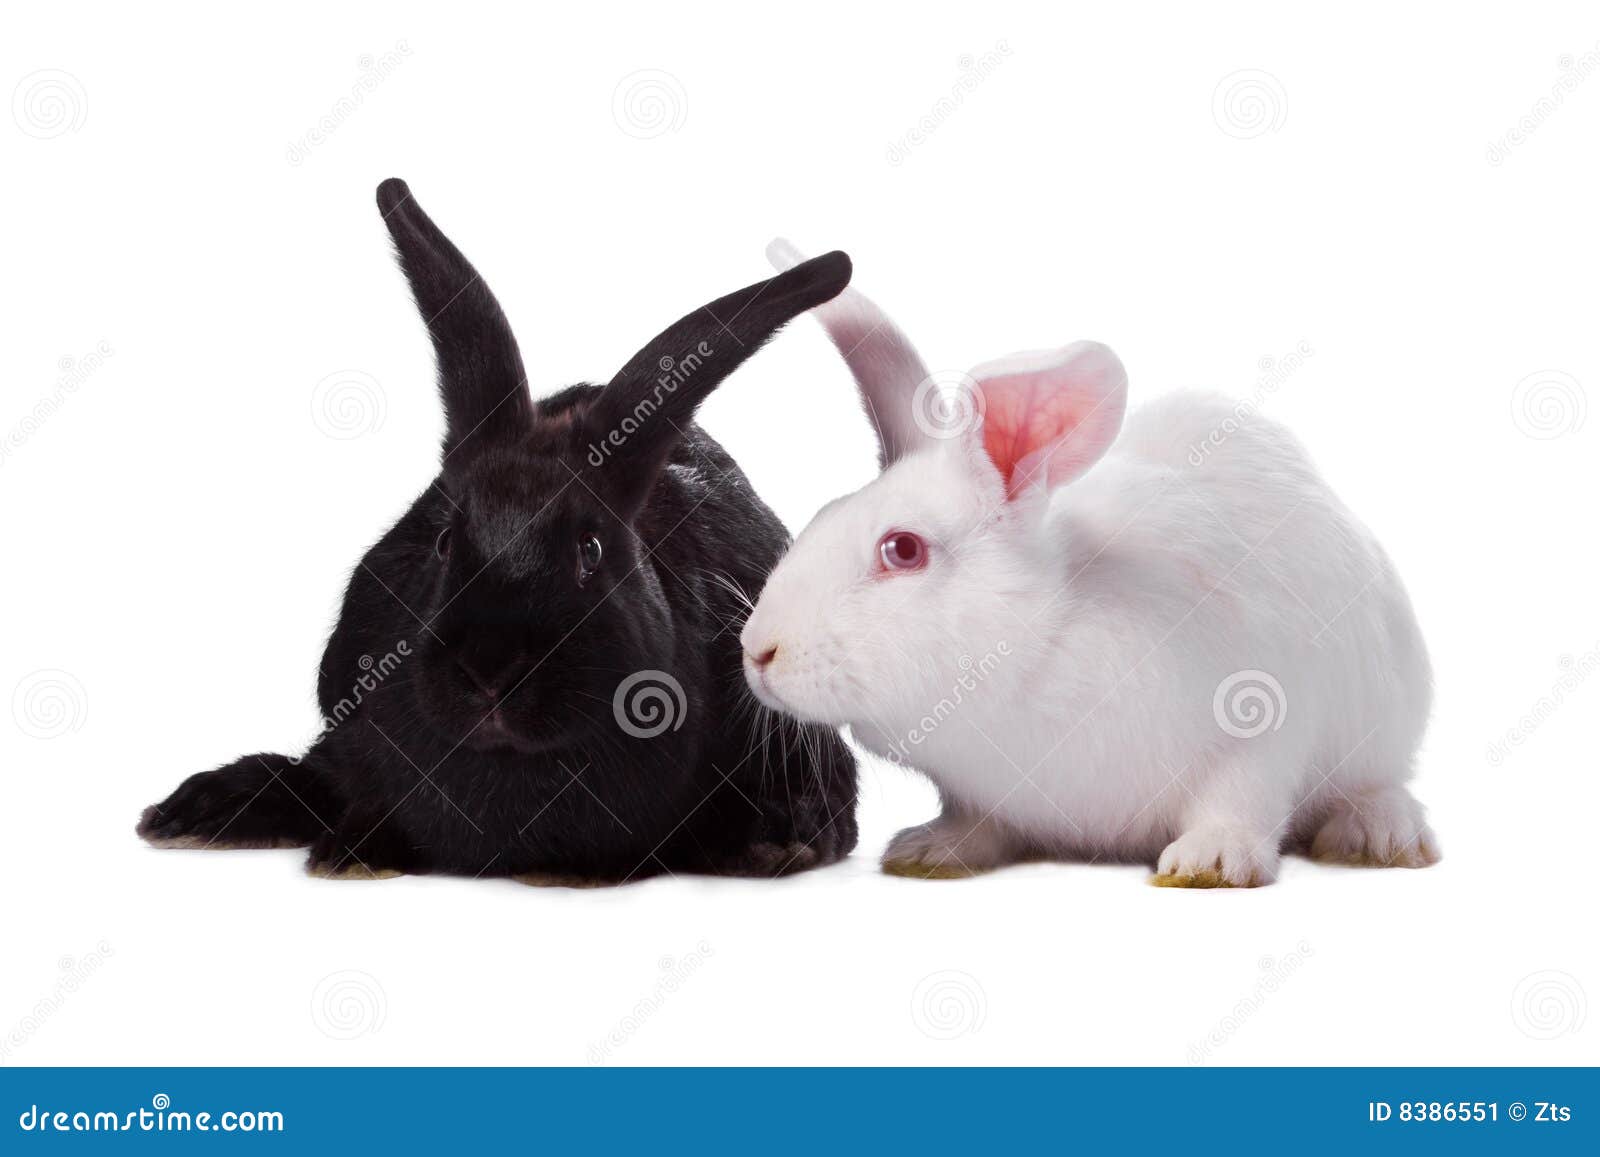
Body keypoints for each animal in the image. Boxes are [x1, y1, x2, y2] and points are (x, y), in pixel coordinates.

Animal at [136, 182, 859, 884]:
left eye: (591, 550)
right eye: (444, 541)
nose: (490, 667)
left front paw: (770, 841)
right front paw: (354, 848)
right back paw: (191, 813)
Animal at [738, 240, 1438, 887]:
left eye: (902, 549)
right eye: (823, 515)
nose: (758, 650)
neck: (1040, 642)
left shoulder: (1263, 722)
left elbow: (1240, 799)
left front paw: (1209, 861)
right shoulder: (977, 791)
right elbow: (975, 821)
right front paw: (931, 850)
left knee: (1377, 782)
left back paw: (1379, 836)